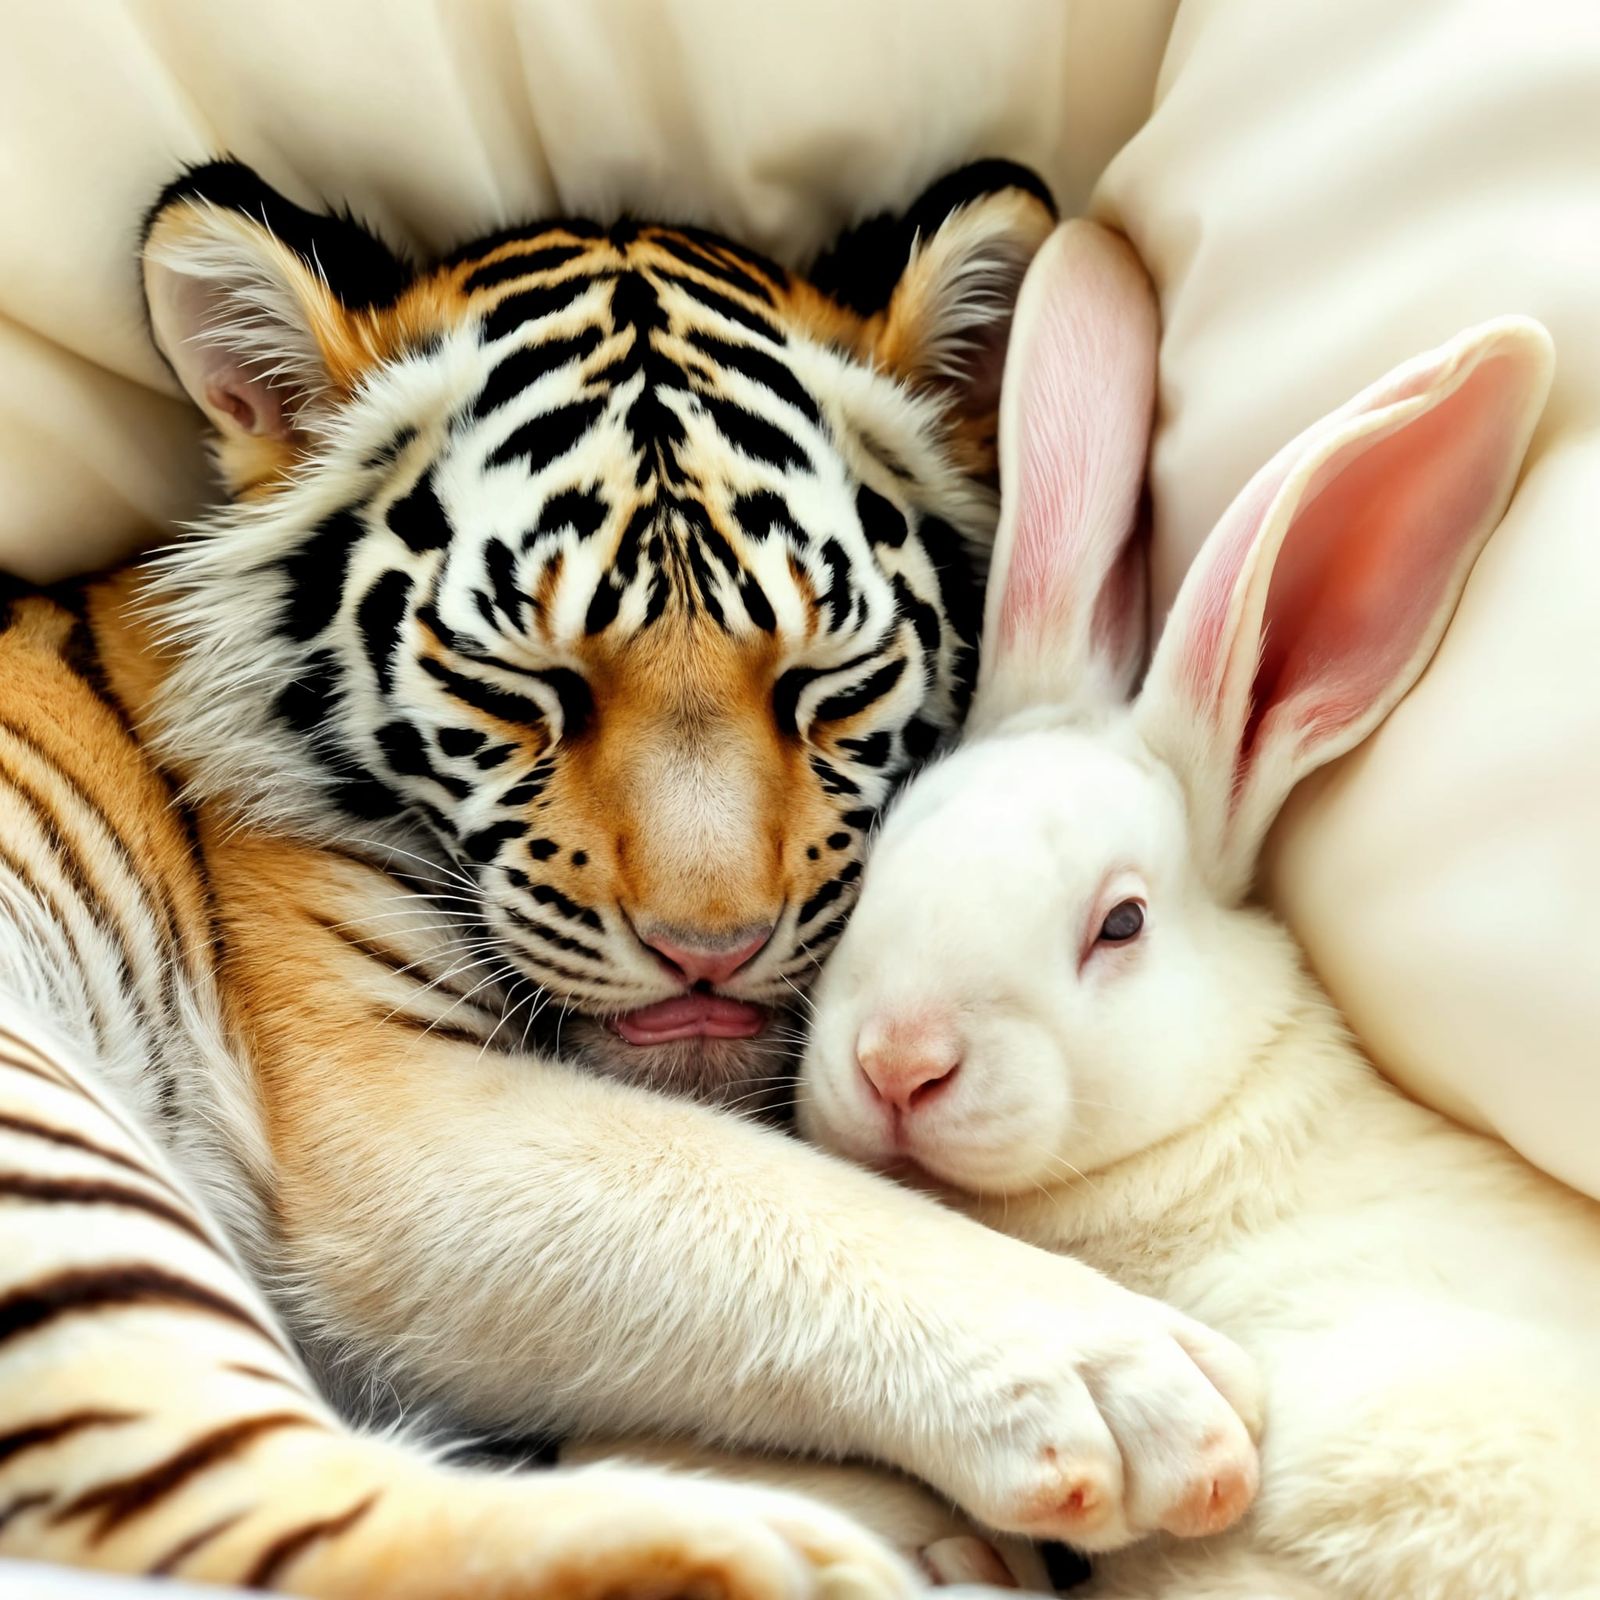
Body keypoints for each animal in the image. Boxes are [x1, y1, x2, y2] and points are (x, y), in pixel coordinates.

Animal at [0, 158, 1262, 1594]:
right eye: (524, 687)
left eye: (828, 682)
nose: (709, 946)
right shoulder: (389, 1109)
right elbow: (751, 1195)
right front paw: (1135, 1381)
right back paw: (809, 1551)